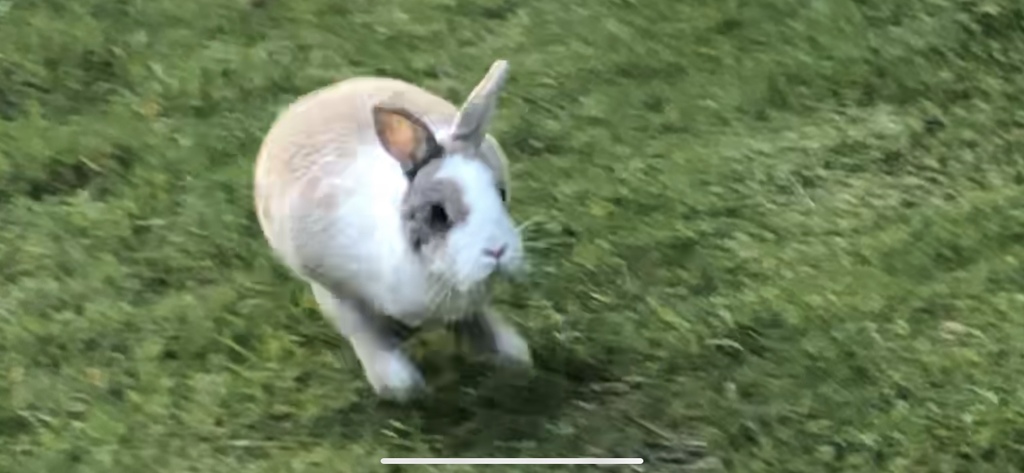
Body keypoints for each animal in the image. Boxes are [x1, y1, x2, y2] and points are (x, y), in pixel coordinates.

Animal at [253, 60, 530, 401]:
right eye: (437, 214)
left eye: (501, 193)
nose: (497, 251)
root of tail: (319, 96)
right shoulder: (336, 292)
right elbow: (365, 334)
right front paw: (402, 388)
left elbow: (479, 322)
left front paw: (513, 358)